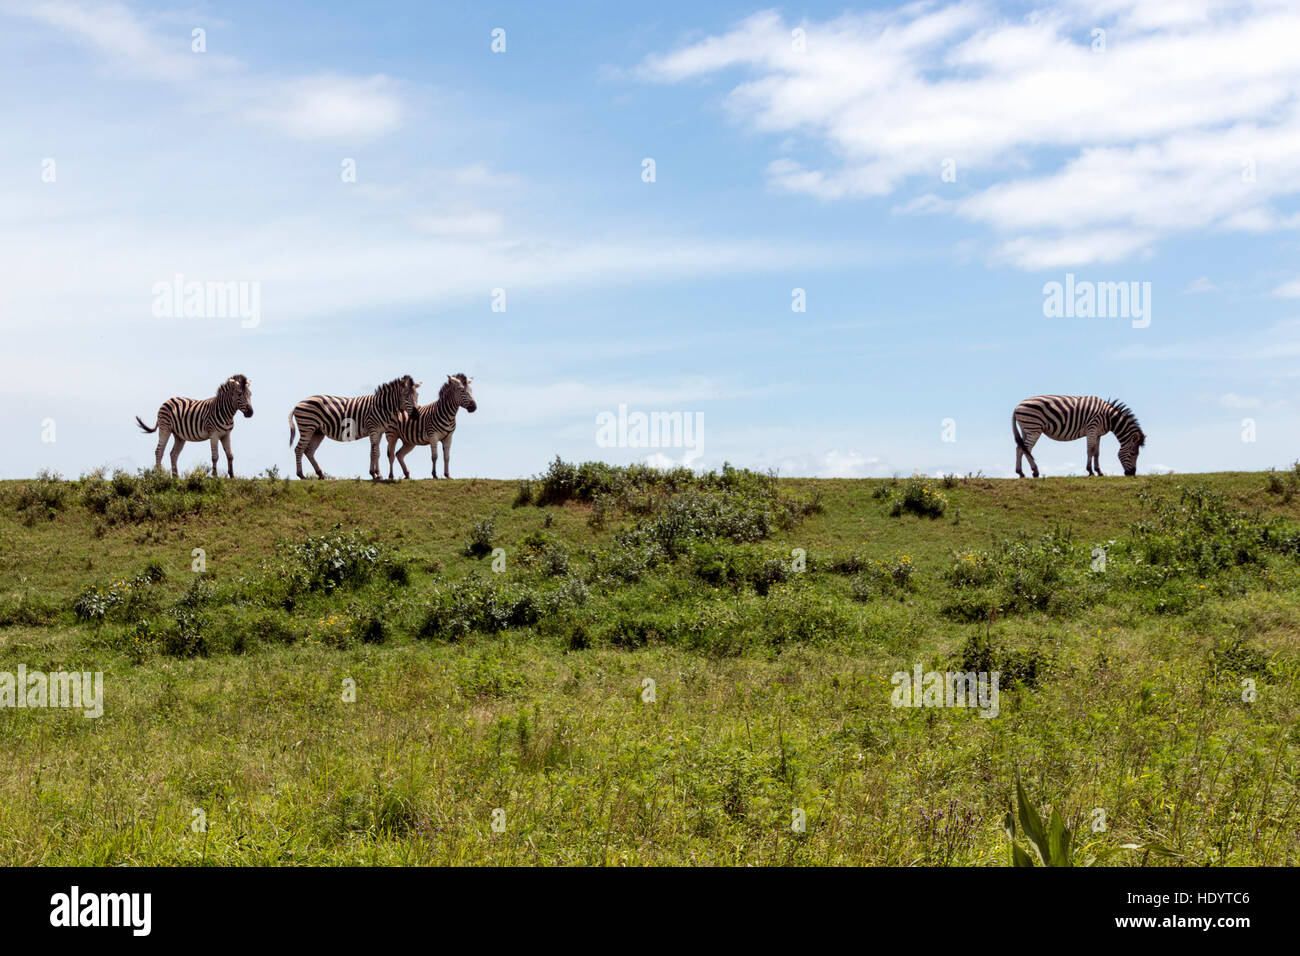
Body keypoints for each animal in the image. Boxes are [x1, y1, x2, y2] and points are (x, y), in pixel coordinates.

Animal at [288, 375, 420, 479]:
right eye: (405, 395)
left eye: (417, 395)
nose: (416, 415)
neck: (382, 406)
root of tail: (298, 403)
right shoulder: (373, 428)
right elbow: (376, 452)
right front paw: (377, 474)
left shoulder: (379, 432)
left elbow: (373, 452)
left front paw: (374, 473)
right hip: (307, 427)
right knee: (299, 449)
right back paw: (301, 475)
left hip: (317, 431)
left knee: (309, 451)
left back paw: (320, 474)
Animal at [1012, 395, 1146, 477]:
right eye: (1133, 453)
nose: (1132, 473)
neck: (1109, 417)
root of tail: (1017, 406)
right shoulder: (1092, 428)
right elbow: (1090, 450)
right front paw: (1090, 471)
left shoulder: (1098, 434)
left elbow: (1097, 452)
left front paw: (1099, 472)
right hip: (1034, 428)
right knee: (1026, 449)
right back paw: (1035, 472)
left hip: (1026, 430)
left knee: (1020, 448)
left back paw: (1021, 473)